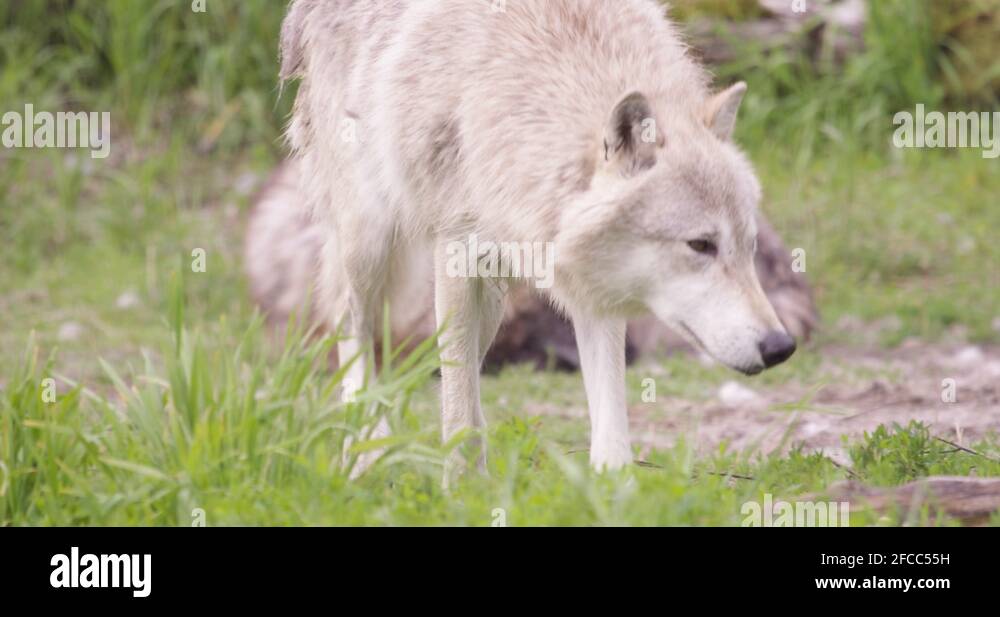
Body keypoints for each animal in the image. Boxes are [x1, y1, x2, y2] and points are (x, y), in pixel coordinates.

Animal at [279, 0, 797, 474]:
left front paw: (612, 490)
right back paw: (369, 452)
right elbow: (455, 398)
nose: (780, 347)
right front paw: (460, 488)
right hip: (370, 242)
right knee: (349, 323)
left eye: (748, 246)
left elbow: (609, 418)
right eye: (701, 245)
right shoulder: (455, 253)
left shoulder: (591, 282)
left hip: (491, 297)